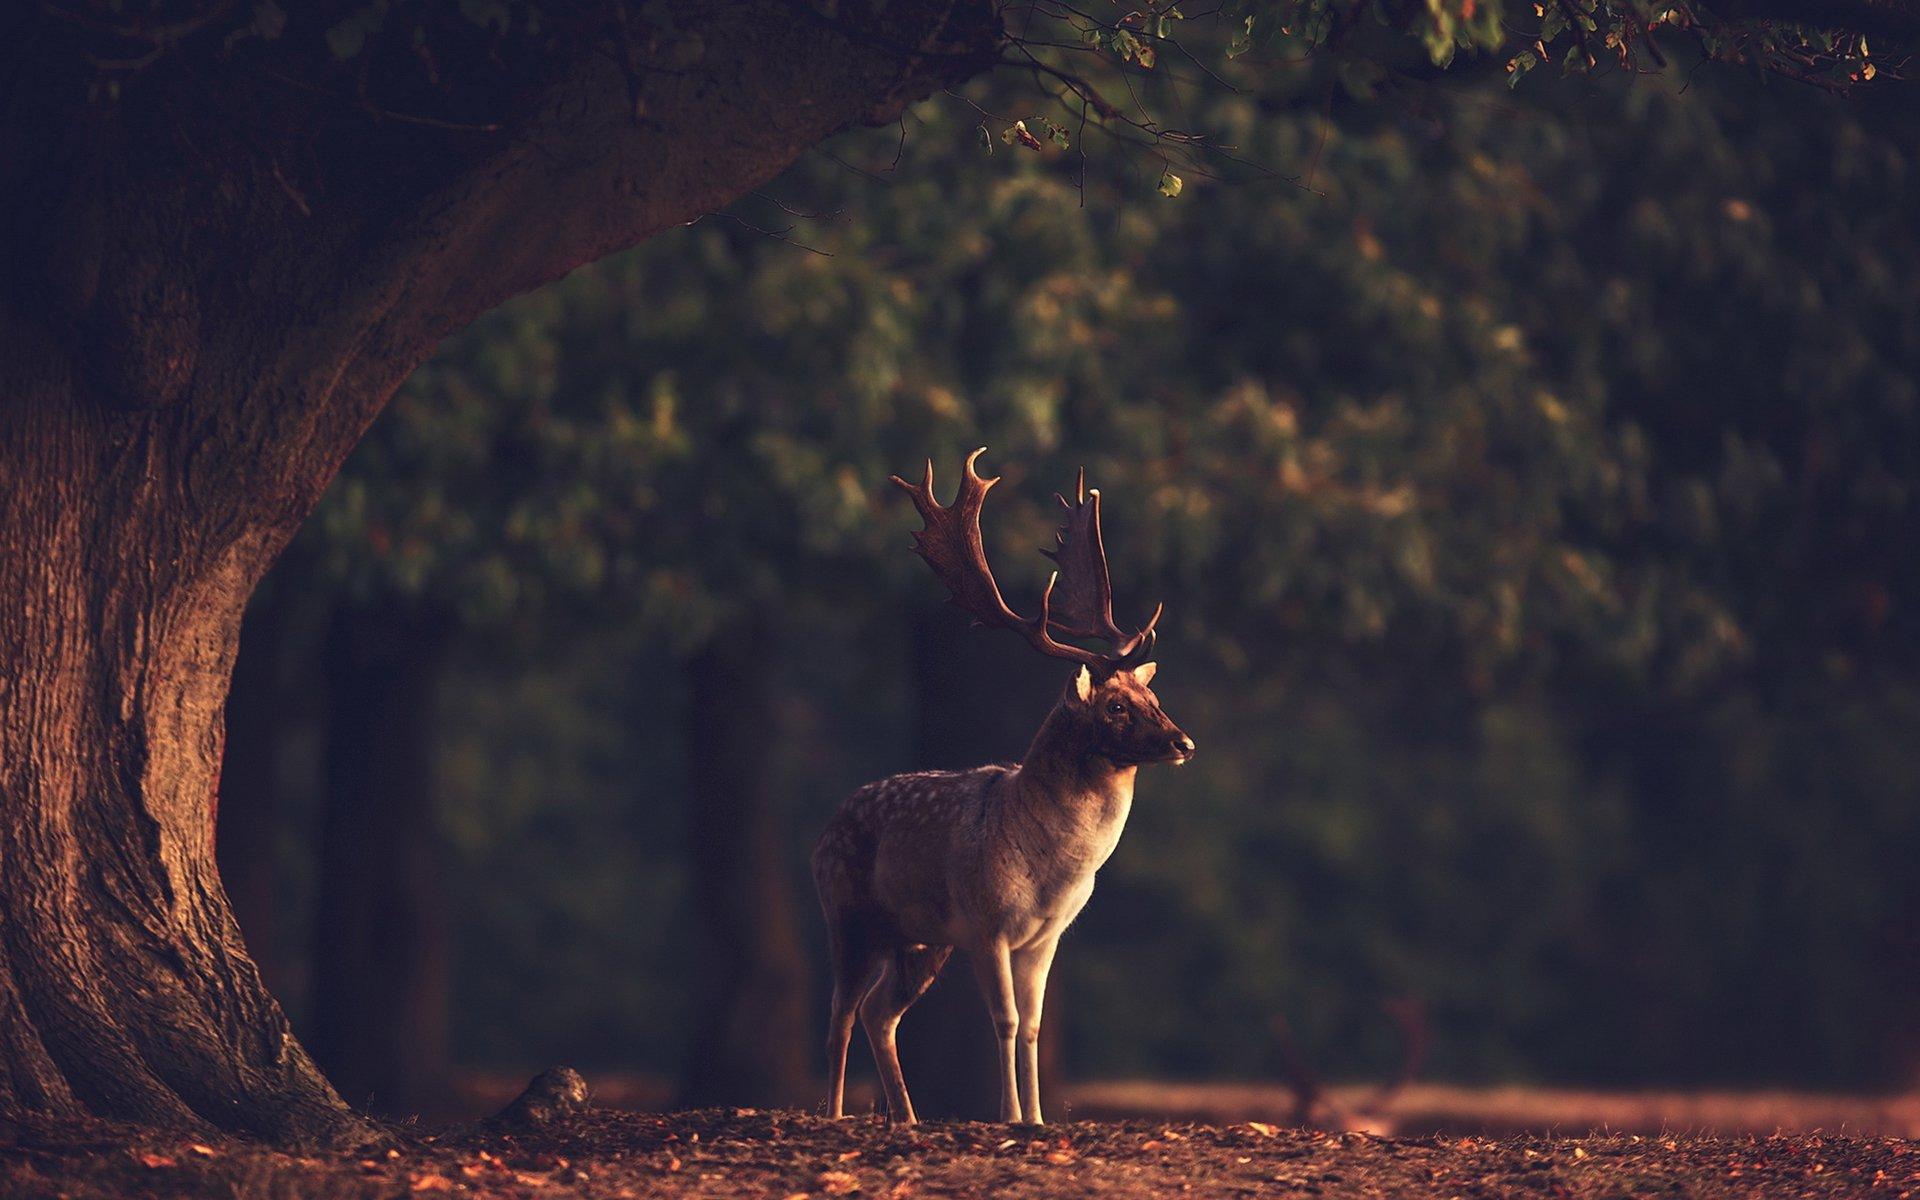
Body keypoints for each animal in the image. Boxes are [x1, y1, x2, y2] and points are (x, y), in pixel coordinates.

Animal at [812, 448, 1195, 1126]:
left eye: (1153, 696)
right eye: (1116, 706)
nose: (1184, 743)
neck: (1052, 871)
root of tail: (822, 832)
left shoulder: (1046, 936)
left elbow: (1036, 1025)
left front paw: (1038, 1118)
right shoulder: (986, 923)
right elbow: (1007, 1020)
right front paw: (1010, 1116)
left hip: (920, 939)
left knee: (880, 1013)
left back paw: (908, 1117)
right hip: (847, 913)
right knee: (841, 1016)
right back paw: (834, 1114)